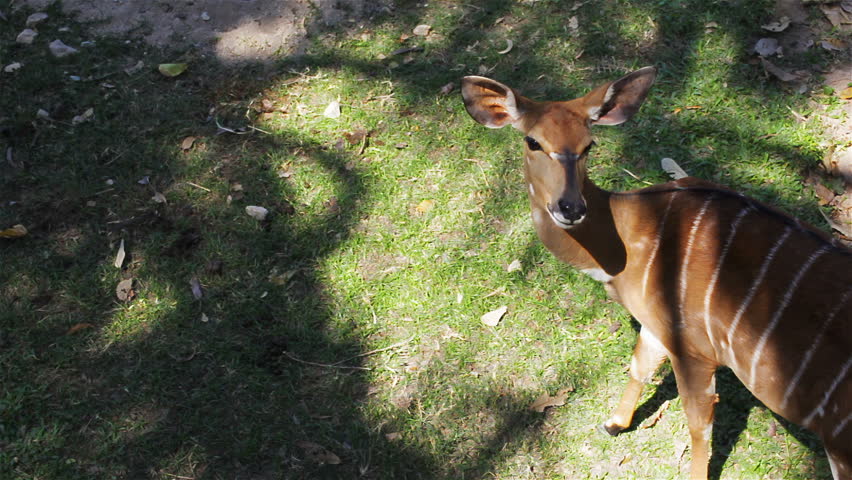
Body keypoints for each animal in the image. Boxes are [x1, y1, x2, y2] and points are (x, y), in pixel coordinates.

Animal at [461, 66, 852, 480]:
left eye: (589, 144)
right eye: (533, 141)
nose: (571, 207)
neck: (628, 237)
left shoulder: (693, 349)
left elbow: (698, 425)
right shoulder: (655, 325)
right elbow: (639, 367)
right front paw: (614, 424)